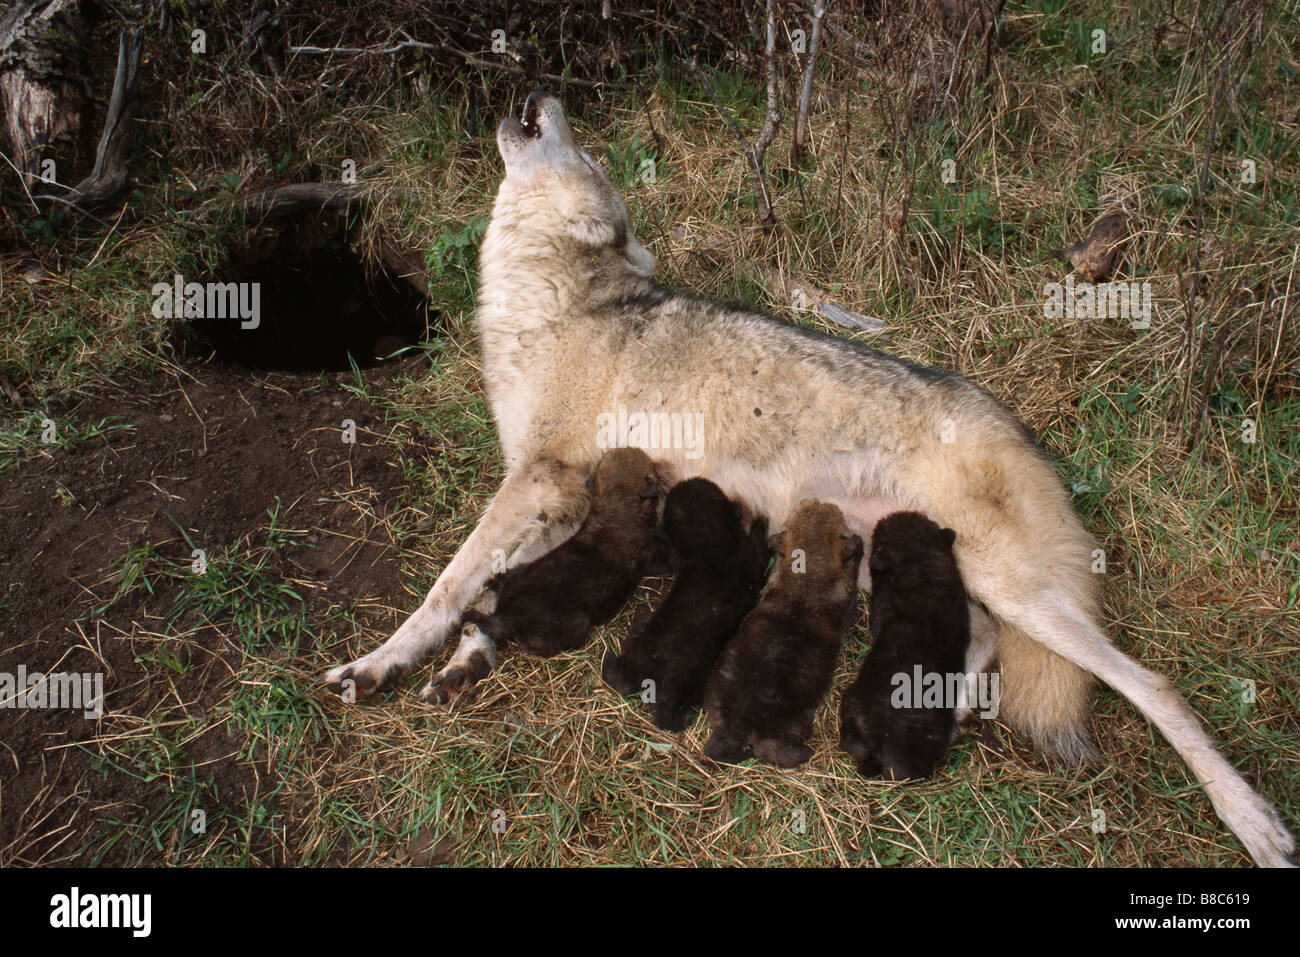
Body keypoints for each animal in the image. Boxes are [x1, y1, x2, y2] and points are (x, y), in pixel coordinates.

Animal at [602, 477, 769, 731]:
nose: (691, 480)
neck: (708, 542)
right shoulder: (749, 559)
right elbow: (760, 556)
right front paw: (761, 527)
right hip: (694, 682)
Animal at [703, 500, 863, 767]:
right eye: (837, 517)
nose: (823, 502)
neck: (805, 583)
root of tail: (738, 723)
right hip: (789, 727)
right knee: (772, 749)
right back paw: (803, 753)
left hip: (714, 702)